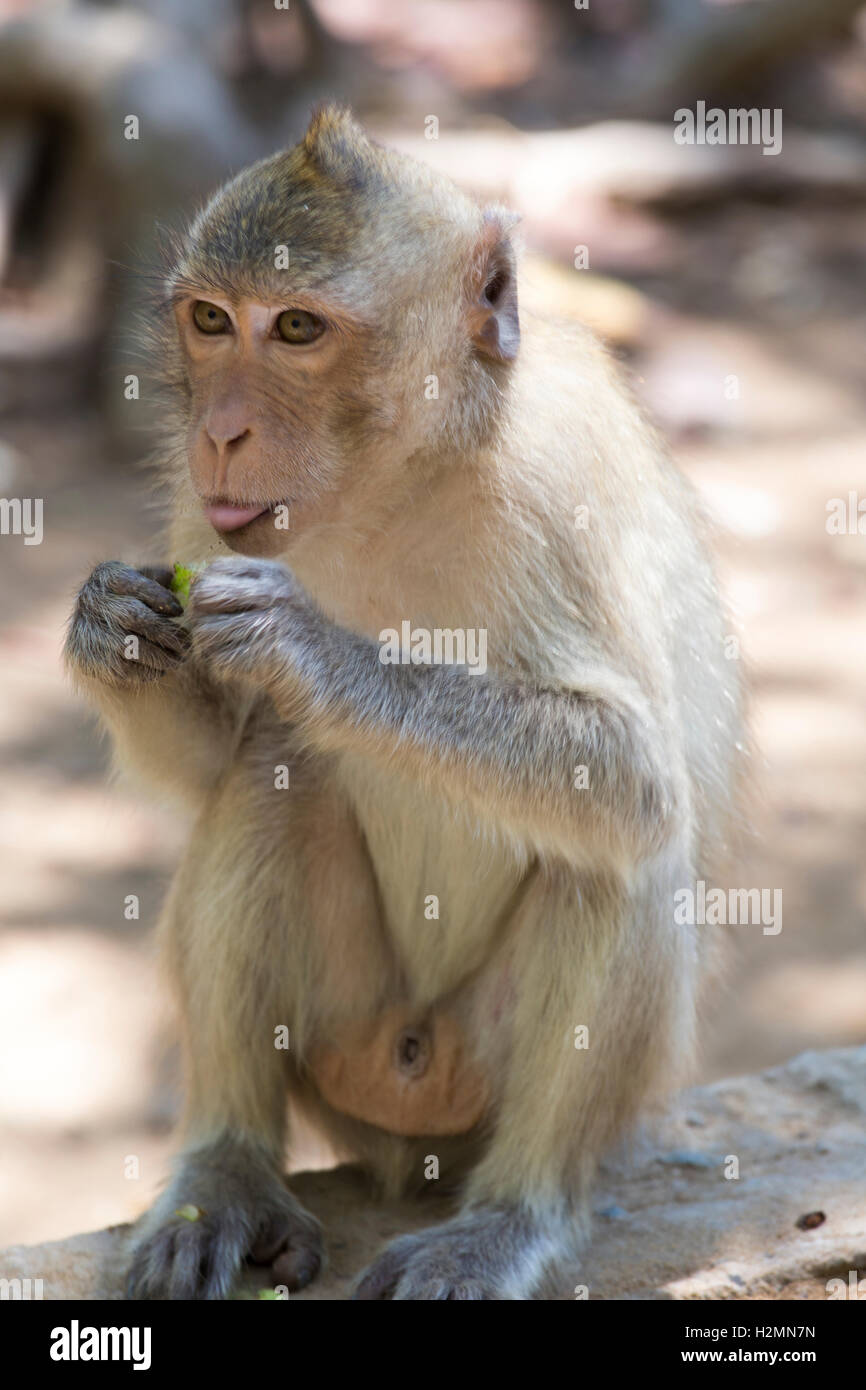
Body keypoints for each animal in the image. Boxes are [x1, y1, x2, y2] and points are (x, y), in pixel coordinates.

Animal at [64, 106, 742, 1300]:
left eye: (295, 327)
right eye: (210, 320)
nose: (221, 431)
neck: (398, 483)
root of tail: (407, 1101)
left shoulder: (562, 483)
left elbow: (632, 777)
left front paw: (312, 651)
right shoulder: (208, 516)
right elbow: (213, 761)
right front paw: (113, 629)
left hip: (533, 1080)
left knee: (610, 855)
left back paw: (513, 1216)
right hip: (346, 1043)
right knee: (270, 776)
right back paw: (226, 1172)